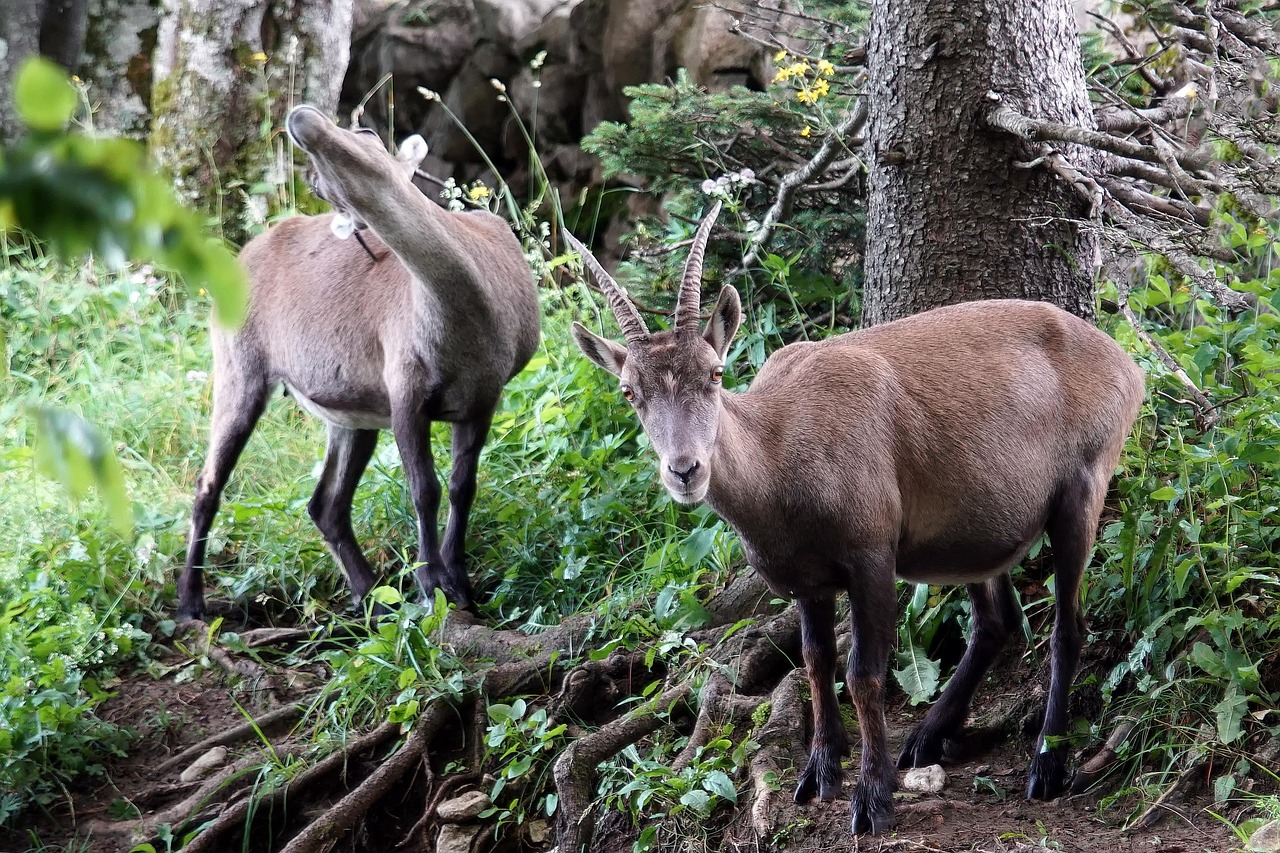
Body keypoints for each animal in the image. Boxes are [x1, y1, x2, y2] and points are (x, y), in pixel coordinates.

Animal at [177, 104, 541, 622]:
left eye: (366, 131)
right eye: (317, 183)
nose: (301, 118)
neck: (474, 317)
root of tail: (242, 254)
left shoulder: (483, 395)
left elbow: (461, 486)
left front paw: (462, 584)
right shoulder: (405, 383)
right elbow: (424, 488)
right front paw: (433, 585)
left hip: (352, 414)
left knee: (324, 503)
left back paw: (369, 594)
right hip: (238, 365)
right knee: (209, 482)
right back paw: (191, 603)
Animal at [567, 202, 1145, 834]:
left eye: (715, 373)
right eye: (629, 391)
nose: (685, 470)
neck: (782, 451)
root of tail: (1125, 362)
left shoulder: (871, 554)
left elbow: (864, 672)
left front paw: (872, 798)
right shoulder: (807, 580)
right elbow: (815, 662)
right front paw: (818, 773)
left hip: (1082, 489)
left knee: (1068, 627)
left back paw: (1046, 763)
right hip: (976, 531)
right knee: (996, 620)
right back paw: (927, 737)